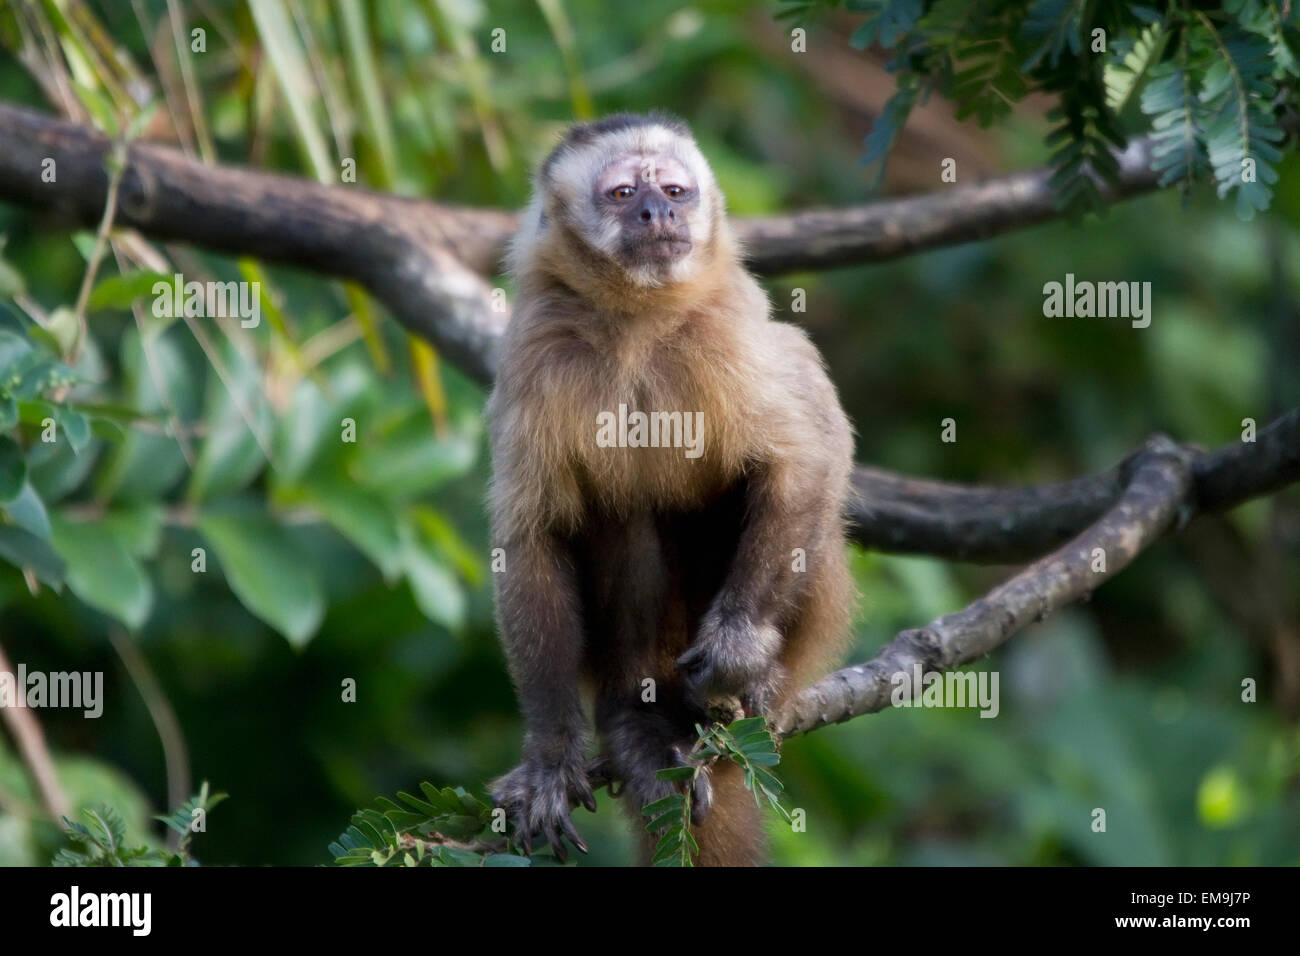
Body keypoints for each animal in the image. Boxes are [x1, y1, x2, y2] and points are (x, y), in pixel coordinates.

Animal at [486, 112, 855, 866]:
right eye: (624, 193)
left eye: (676, 190)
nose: (659, 213)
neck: (635, 319)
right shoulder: (535, 348)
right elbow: (530, 537)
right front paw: (550, 756)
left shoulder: (727, 326)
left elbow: (803, 456)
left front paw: (739, 649)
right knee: (625, 518)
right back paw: (642, 726)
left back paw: (752, 686)